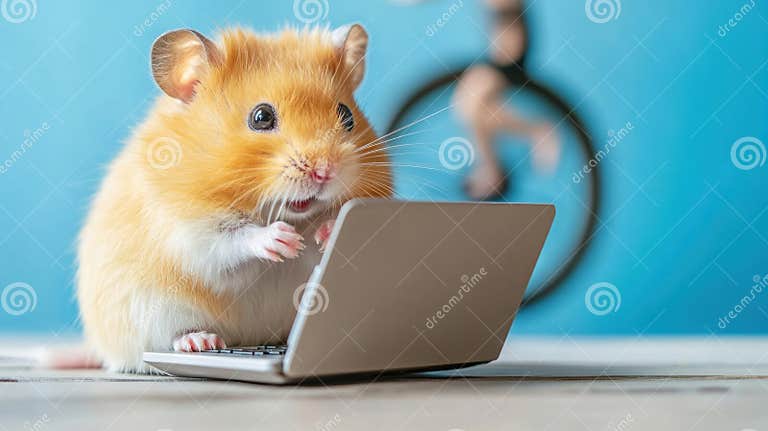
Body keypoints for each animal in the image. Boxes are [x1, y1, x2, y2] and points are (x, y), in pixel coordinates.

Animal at [77, 24, 392, 373]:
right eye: (261, 117)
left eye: (347, 115)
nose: (325, 171)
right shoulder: (187, 230)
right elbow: (232, 240)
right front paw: (281, 239)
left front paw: (326, 231)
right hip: (146, 313)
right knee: (170, 338)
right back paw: (199, 341)